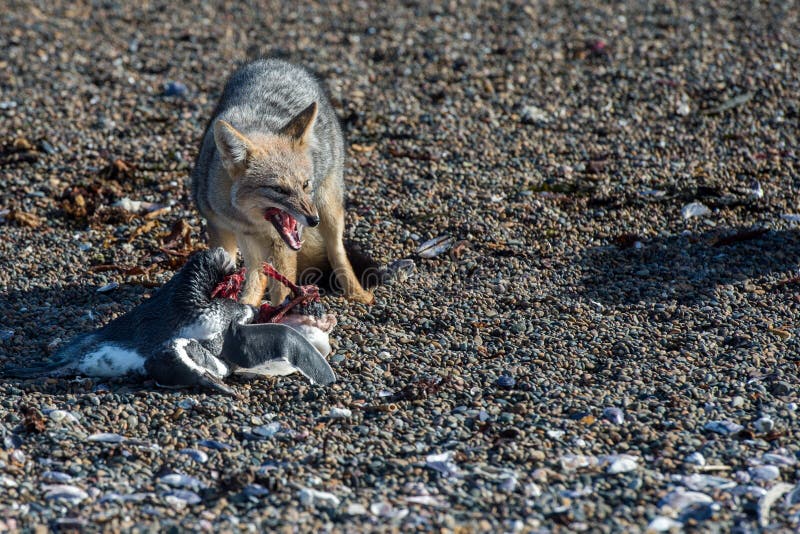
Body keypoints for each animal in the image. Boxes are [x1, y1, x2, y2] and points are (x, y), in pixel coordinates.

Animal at [191, 59, 374, 307]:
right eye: (278, 189)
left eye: (305, 184)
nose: (312, 220)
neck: (248, 220)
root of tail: (279, 62)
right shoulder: (222, 228)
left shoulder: (281, 244)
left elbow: (282, 289)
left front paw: (280, 312)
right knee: (259, 275)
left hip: (328, 209)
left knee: (337, 251)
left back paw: (357, 293)